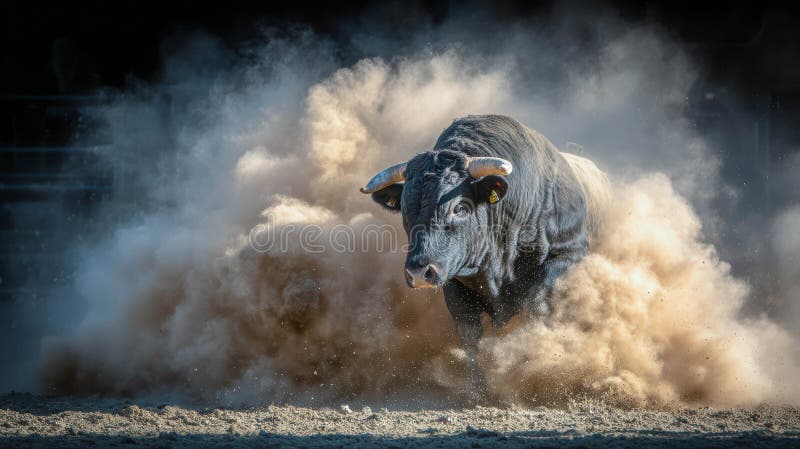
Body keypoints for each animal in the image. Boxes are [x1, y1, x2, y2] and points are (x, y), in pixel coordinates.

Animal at [360, 115, 609, 399]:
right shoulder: (454, 279)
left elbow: (536, 306)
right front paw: (480, 390)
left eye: (459, 207)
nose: (419, 272)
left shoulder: (569, 254)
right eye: (404, 208)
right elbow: (469, 333)